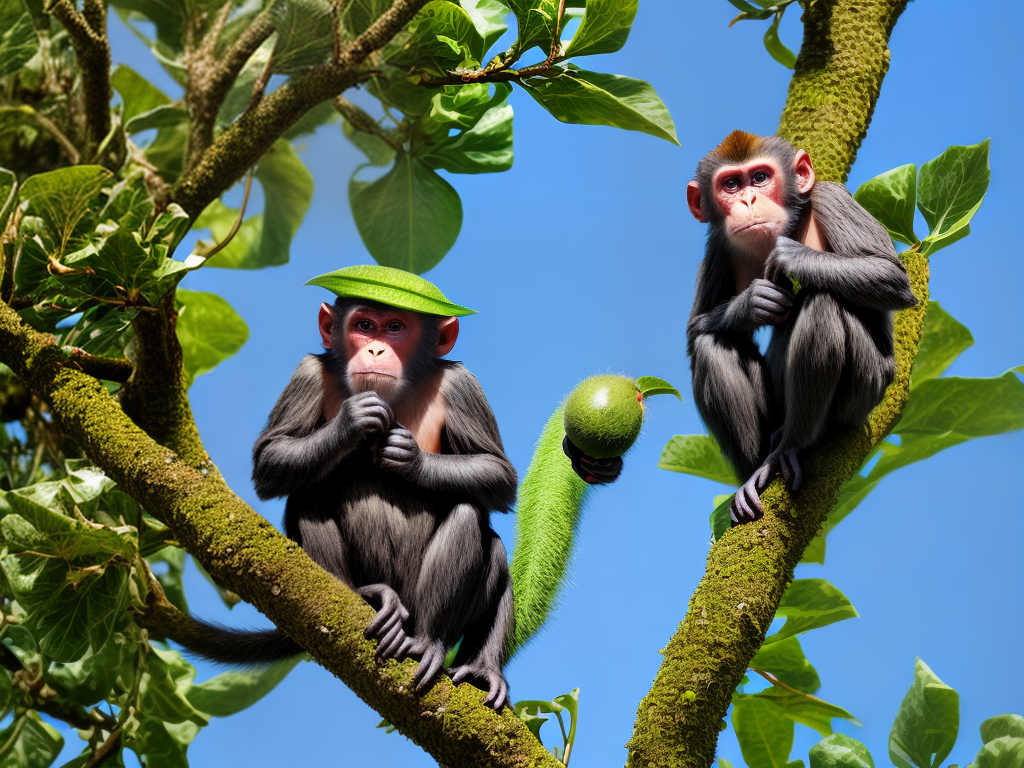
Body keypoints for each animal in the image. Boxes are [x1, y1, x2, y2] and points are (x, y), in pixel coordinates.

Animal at [182, 274, 519, 710]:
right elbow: (271, 455)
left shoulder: (462, 385)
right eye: (364, 325)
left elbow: (498, 473)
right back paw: (367, 594)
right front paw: (353, 421)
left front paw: (408, 457)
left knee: (474, 521)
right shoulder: (307, 373)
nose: (375, 348)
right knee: (306, 498)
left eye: (396, 327)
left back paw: (458, 656)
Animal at [685, 131, 917, 525]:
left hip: (864, 391)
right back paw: (754, 473)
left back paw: (792, 446)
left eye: (760, 178)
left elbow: (892, 276)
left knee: (823, 301)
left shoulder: (830, 197)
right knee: (711, 344)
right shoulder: (717, 244)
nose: (748, 199)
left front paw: (790, 257)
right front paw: (751, 303)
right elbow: (693, 331)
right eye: (731, 184)